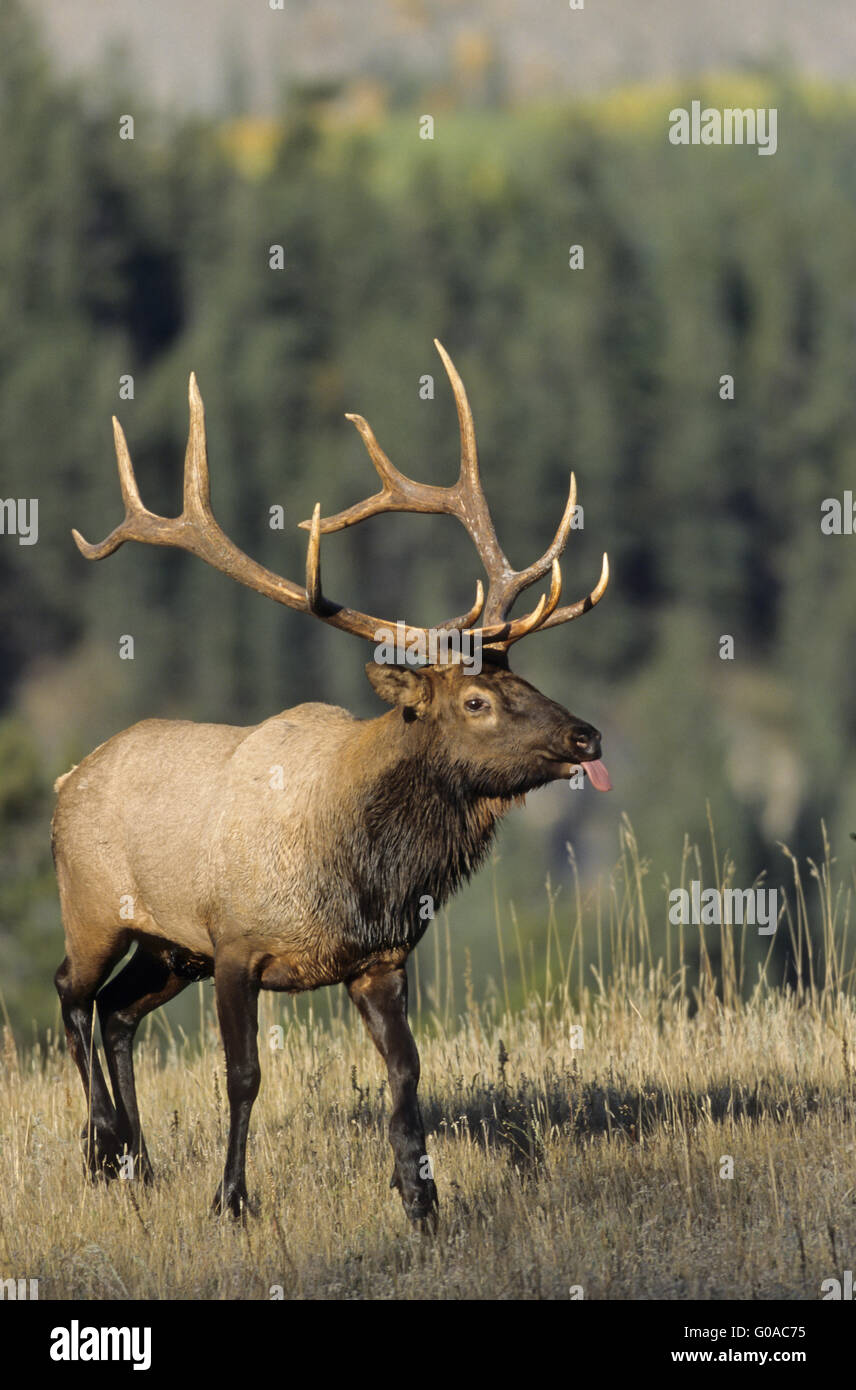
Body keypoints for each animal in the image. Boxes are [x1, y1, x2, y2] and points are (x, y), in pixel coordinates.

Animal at [52, 340, 610, 1228]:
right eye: (477, 700)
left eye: (524, 675)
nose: (585, 736)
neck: (360, 869)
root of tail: (68, 776)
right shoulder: (237, 942)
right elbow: (243, 1076)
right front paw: (231, 1199)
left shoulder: (379, 958)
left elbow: (408, 1069)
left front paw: (421, 1197)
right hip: (98, 907)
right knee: (71, 993)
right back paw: (104, 1147)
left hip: (172, 947)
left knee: (116, 1011)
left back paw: (139, 1158)